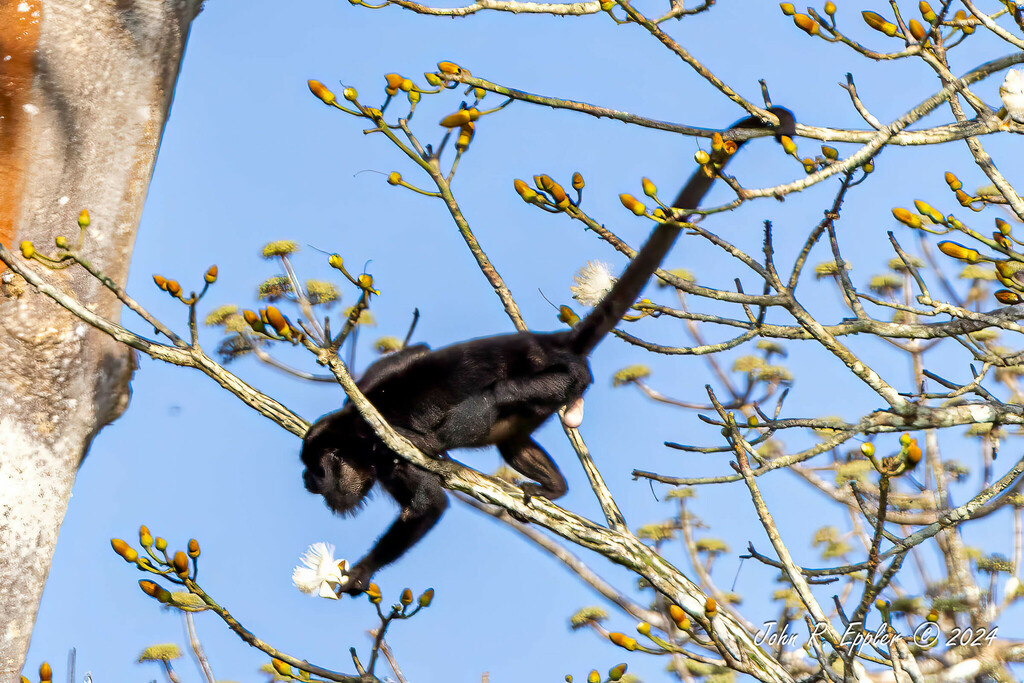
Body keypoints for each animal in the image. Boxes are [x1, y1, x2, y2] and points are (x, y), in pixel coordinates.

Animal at [300, 107, 796, 595]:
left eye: (319, 475)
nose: (308, 483)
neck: (353, 434)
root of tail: (553, 343)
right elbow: (413, 352)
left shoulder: (385, 449)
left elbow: (428, 504)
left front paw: (363, 570)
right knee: (512, 439)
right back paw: (555, 487)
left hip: (561, 377)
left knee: (494, 397)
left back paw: (443, 441)